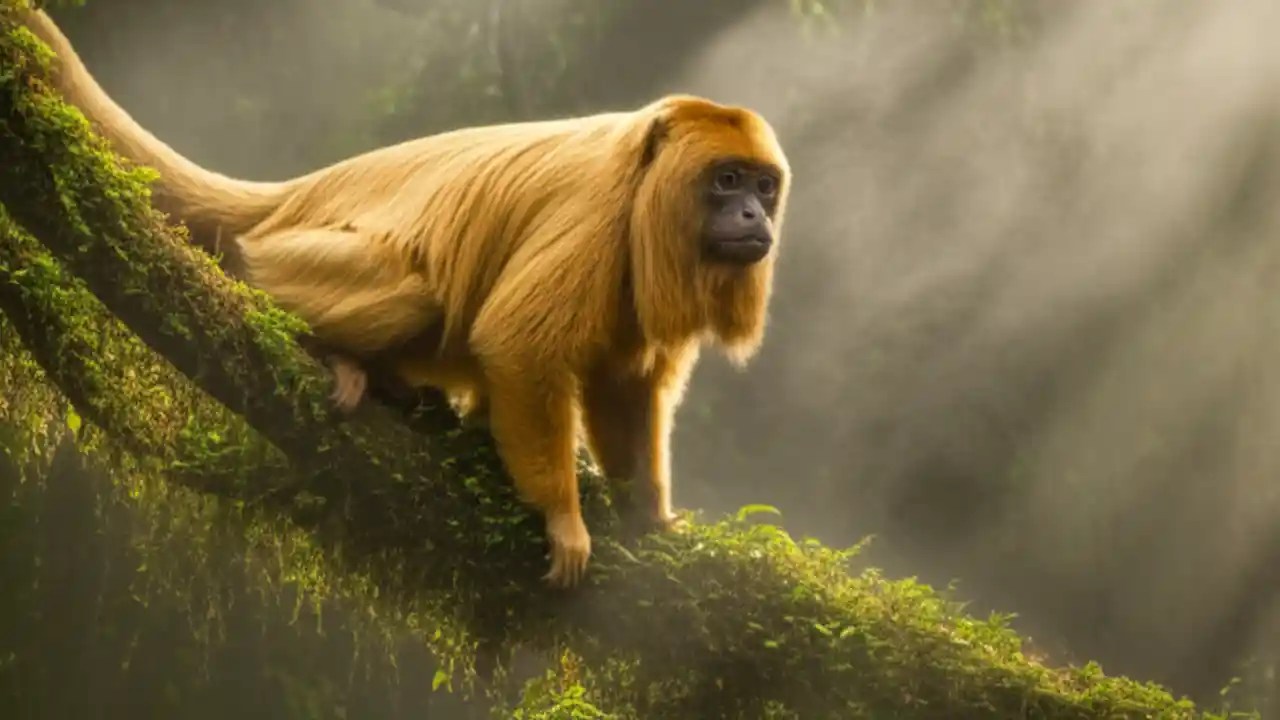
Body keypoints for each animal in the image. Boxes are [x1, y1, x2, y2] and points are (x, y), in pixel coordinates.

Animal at [22, 8, 791, 587]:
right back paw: (333, 356)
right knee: (410, 293)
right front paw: (564, 520)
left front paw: (651, 519)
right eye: (726, 181)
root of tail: (295, 194)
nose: (756, 216)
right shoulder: (595, 214)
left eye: (764, 185)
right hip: (292, 259)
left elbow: (624, 380)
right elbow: (518, 343)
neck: (646, 188)